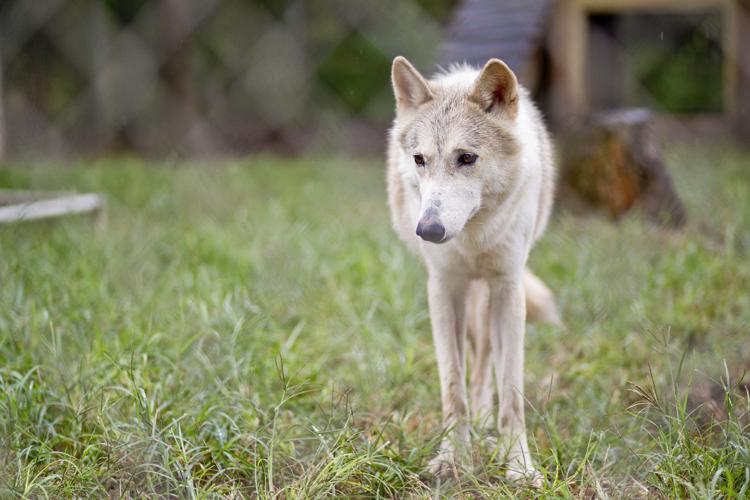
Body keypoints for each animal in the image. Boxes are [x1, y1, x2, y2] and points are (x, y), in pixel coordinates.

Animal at [386, 56, 560, 483]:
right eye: (420, 160)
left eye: (466, 158)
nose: (428, 231)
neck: (473, 237)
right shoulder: (444, 289)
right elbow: (453, 389)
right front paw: (452, 459)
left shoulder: (507, 288)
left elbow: (511, 394)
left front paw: (519, 467)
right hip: (468, 296)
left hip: (488, 297)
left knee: (483, 361)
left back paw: (485, 423)